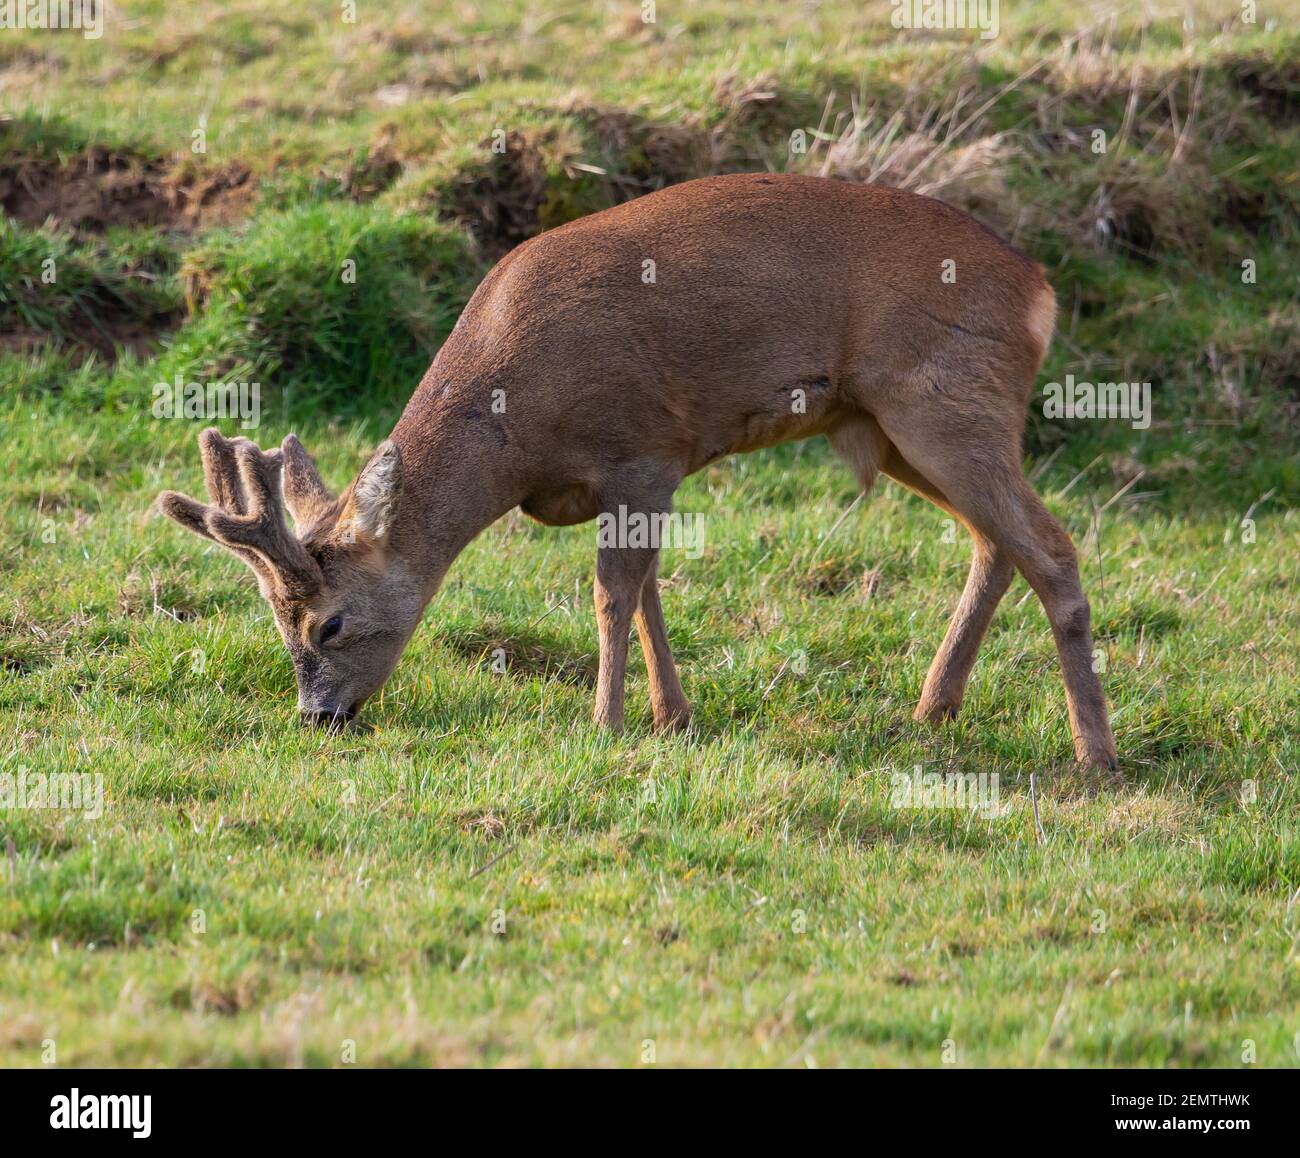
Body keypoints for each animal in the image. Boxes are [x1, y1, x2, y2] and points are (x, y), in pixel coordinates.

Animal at [158, 173, 1118, 768]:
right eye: (277, 621)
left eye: (327, 624)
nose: (316, 718)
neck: (519, 429)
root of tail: (1041, 290)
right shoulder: (636, 479)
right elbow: (649, 585)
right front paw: (671, 716)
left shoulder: (645, 449)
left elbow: (613, 590)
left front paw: (608, 722)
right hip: (889, 427)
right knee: (995, 545)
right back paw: (934, 709)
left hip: (949, 402)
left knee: (1052, 547)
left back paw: (1093, 754)